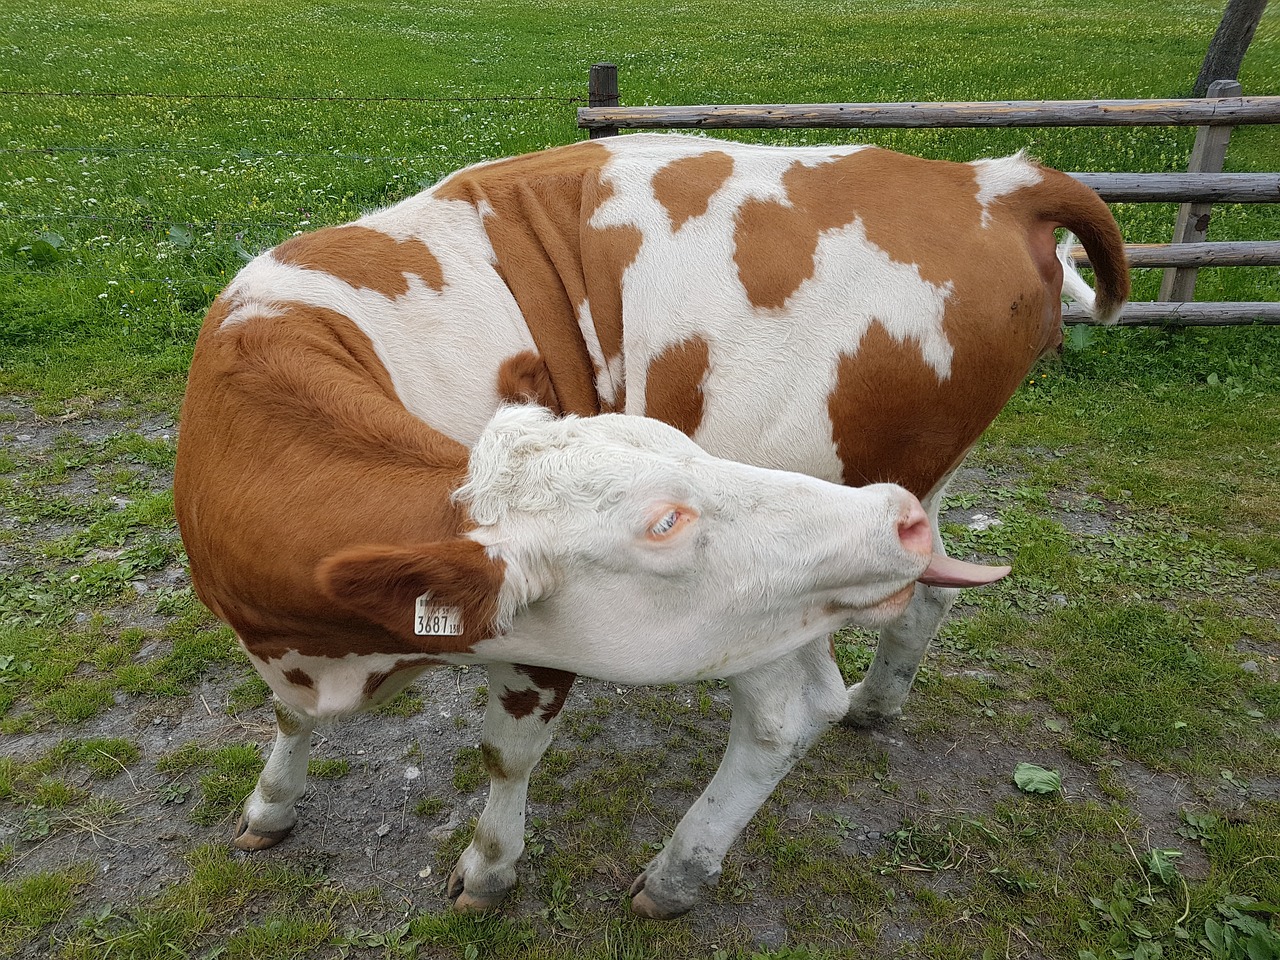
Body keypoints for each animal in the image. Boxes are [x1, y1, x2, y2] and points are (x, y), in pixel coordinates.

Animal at [174, 133, 1128, 919]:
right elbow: (287, 718)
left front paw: (489, 867)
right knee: (929, 598)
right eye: (667, 513)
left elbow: (507, 754)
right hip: (902, 501)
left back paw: (678, 873)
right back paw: (875, 700)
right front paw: (270, 804)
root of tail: (989, 179)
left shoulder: (538, 641)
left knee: (787, 713)